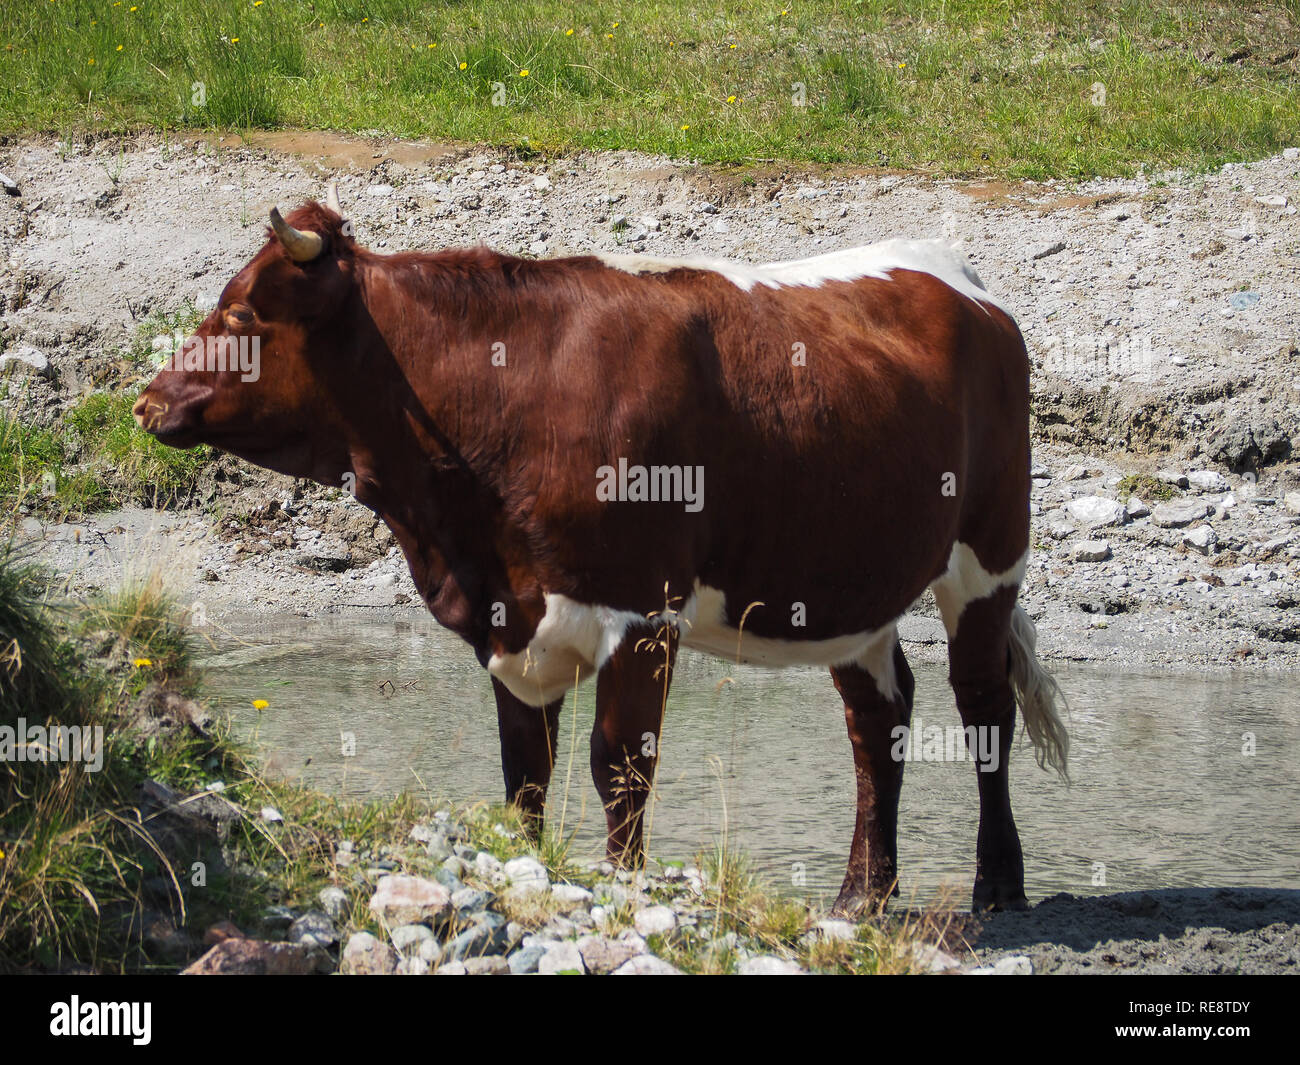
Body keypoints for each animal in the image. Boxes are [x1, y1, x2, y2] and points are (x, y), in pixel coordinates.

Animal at [134, 186, 1068, 915]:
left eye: (243, 313)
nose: (147, 401)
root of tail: (959, 277)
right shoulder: (510, 617)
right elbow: (525, 769)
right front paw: (526, 864)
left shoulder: (641, 607)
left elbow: (619, 764)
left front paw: (626, 881)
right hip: (847, 583)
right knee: (879, 720)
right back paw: (862, 893)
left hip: (990, 555)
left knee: (983, 705)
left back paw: (998, 883)